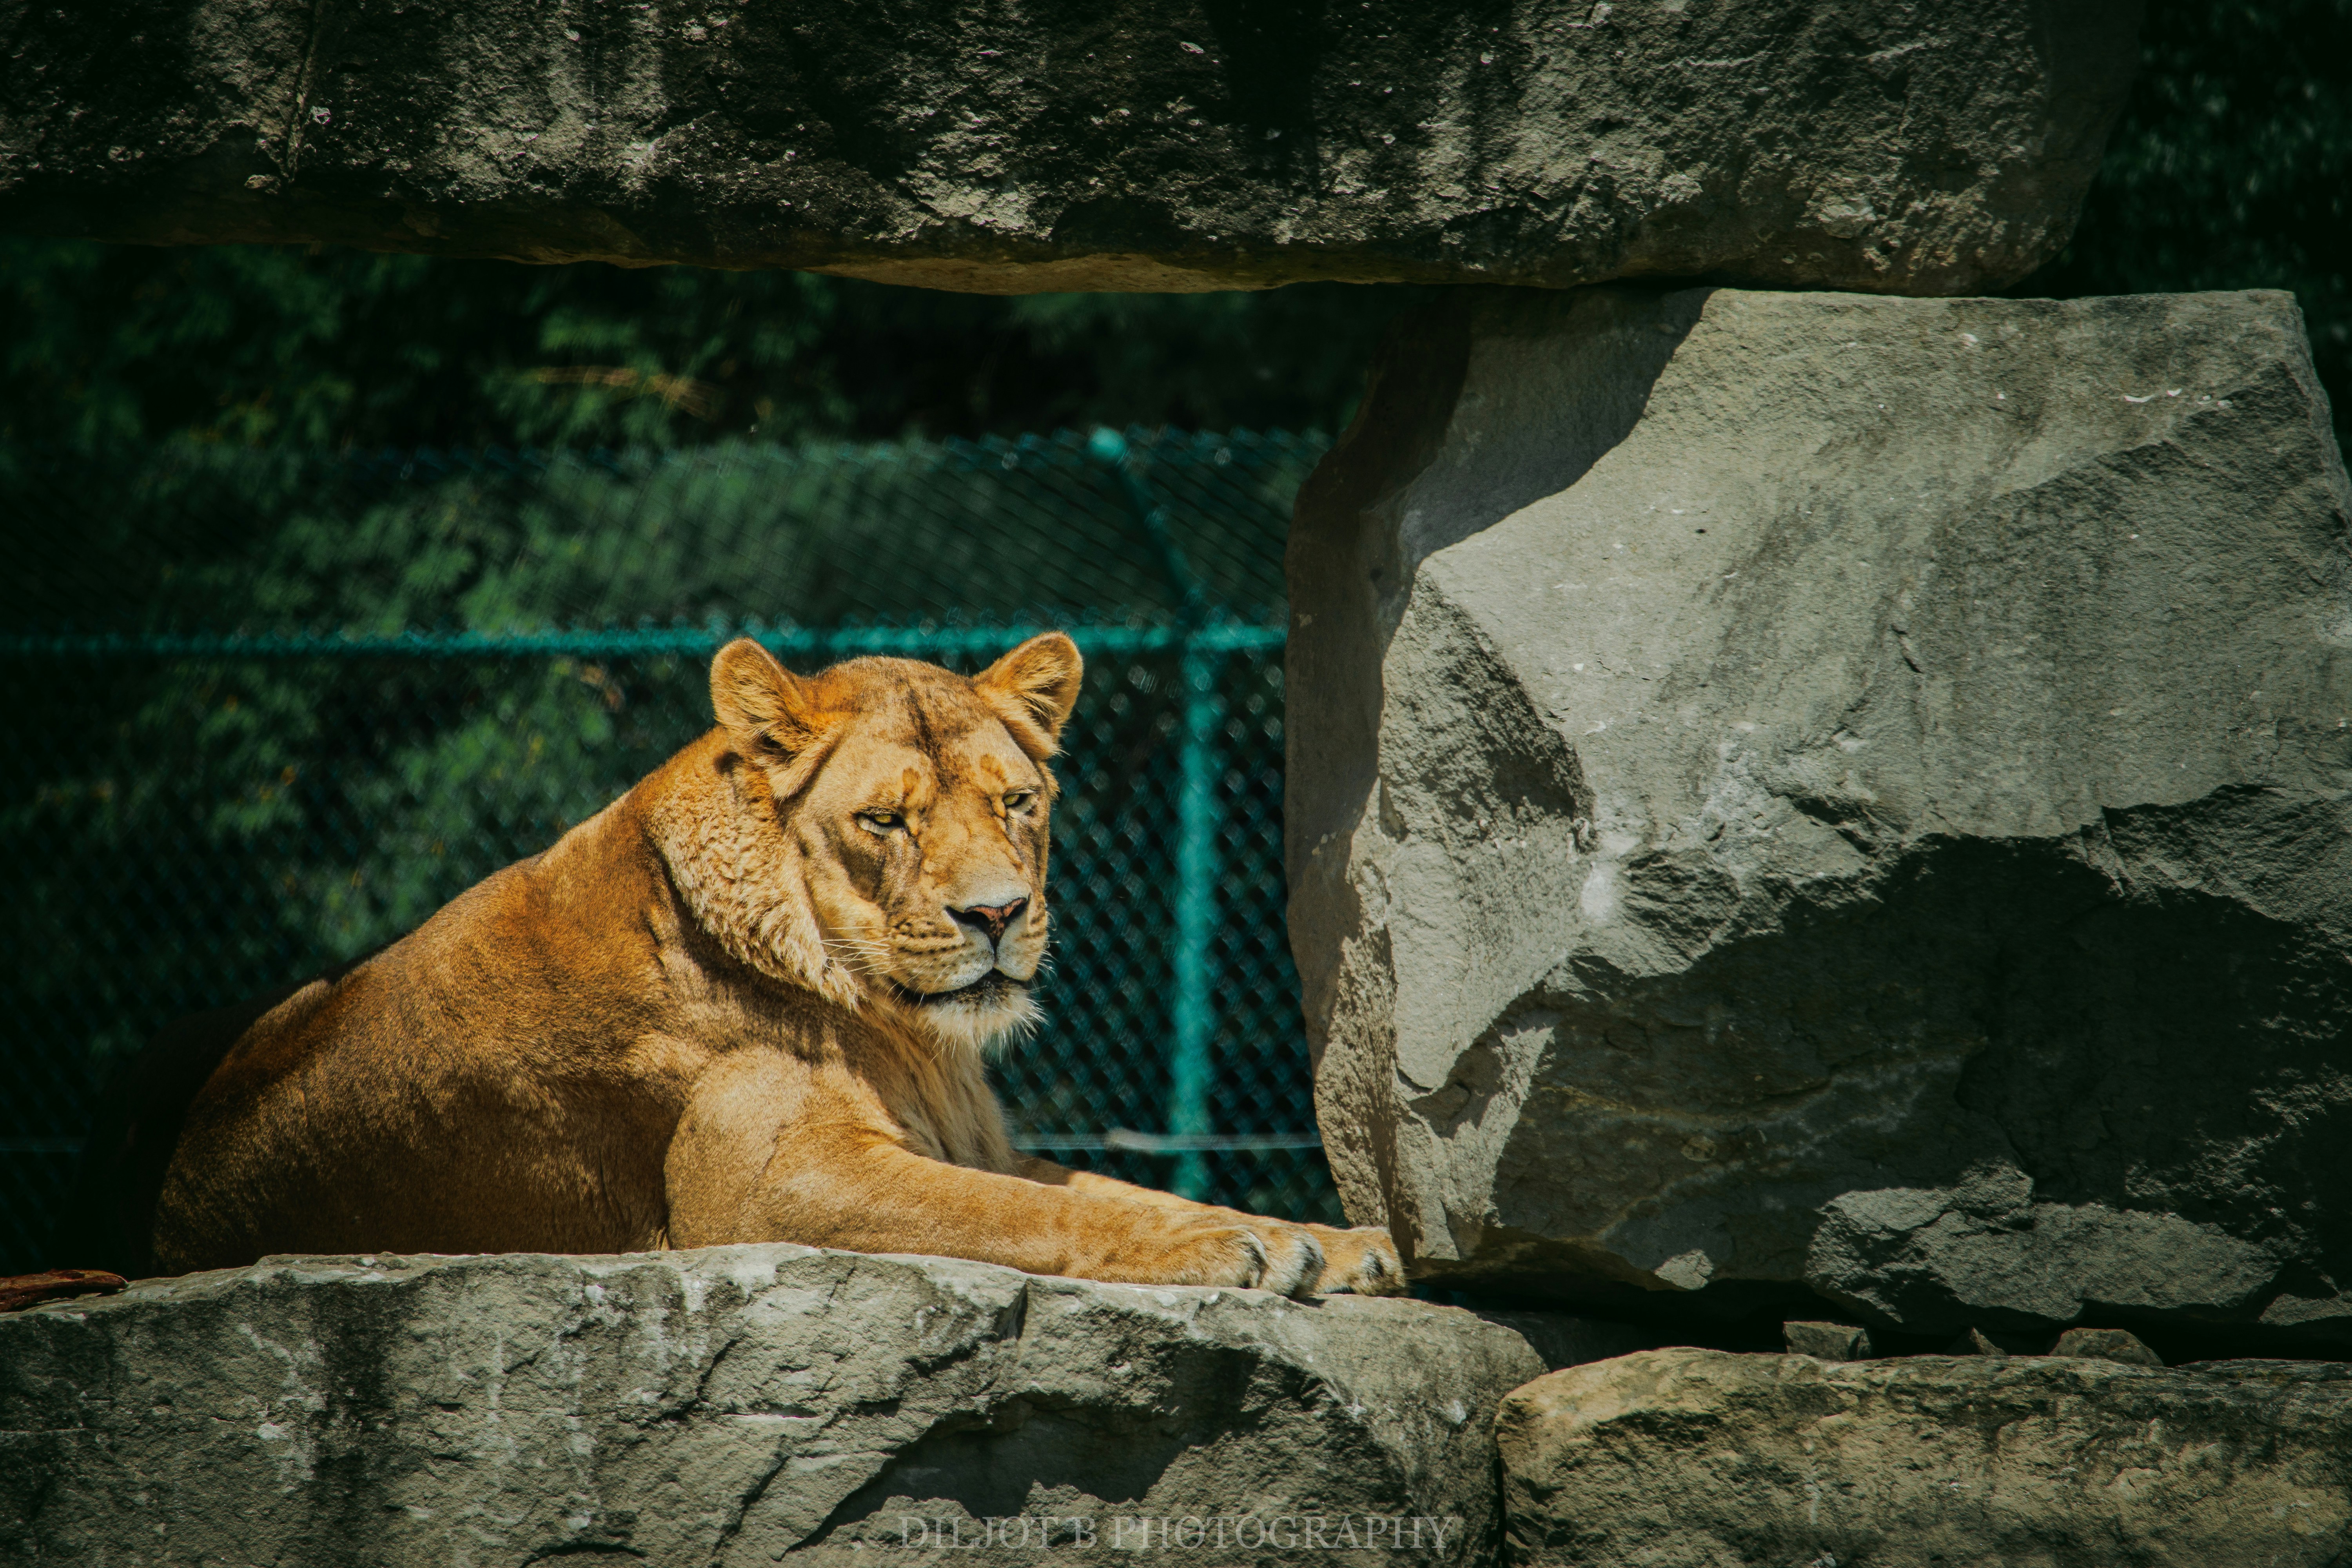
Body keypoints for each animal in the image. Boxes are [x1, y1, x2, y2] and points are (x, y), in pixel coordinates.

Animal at [130, 634, 1402, 1297]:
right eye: (886, 821)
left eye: (1016, 802)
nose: (997, 913)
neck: (911, 1031)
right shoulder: (759, 1189)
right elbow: (1018, 1213)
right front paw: (1221, 1250)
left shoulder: (972, 1142)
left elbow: (1115, 1187)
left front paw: (1333, 1240)